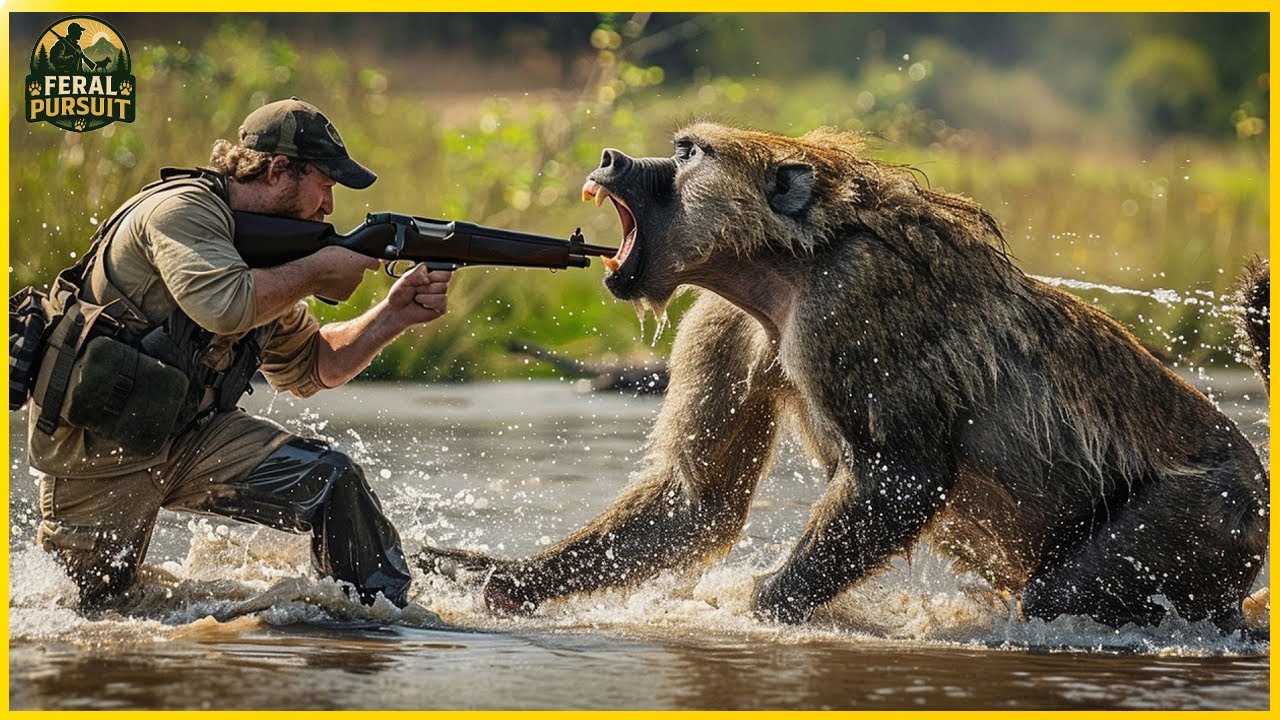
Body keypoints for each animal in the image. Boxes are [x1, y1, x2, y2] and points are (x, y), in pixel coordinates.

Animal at [421, 123, 1268, 632]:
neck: (781, 271)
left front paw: (762, 604)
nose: (611, 160)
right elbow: (695, 503)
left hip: (1212, 512)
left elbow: (904, 477)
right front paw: (503, 580)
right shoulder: (725, 320)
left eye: (687, 153)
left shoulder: (852, 304)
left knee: (1065, 593)